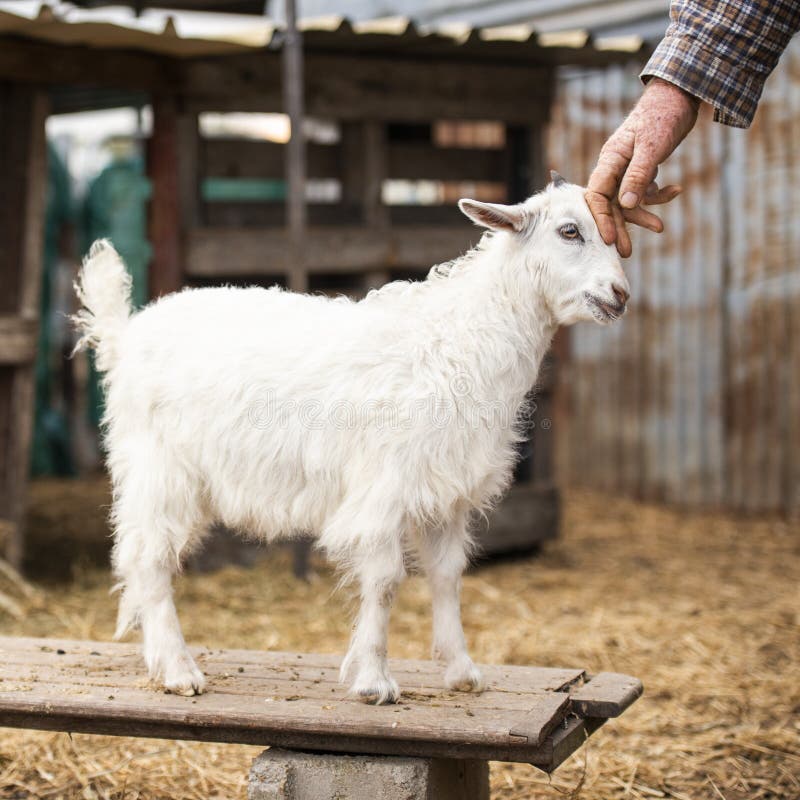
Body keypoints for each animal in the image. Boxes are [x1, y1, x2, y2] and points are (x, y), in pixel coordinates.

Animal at [72, 175, 630, 704]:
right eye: (569, 231)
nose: (620, 294)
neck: (456, 342)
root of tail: (125, 336)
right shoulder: (383, 487)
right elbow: (384, 582)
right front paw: (372, 680)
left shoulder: (446, 490)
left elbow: (447, 575)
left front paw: (460, 671)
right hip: (160, 470)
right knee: (149, 559)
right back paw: (179, 670)